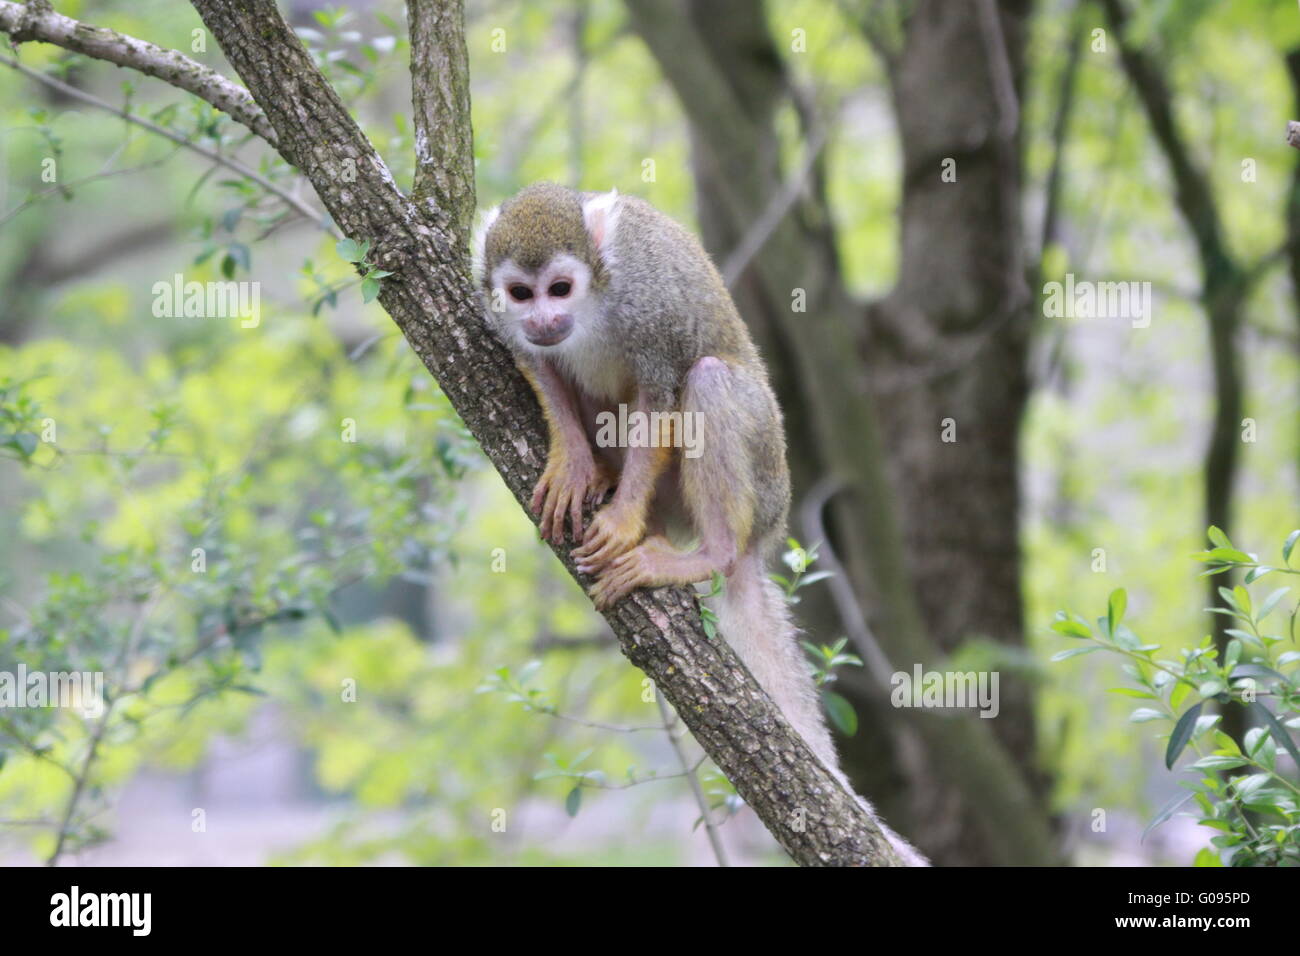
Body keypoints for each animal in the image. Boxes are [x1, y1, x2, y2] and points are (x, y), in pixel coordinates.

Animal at [474, 182, 927, 866]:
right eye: (522, 294)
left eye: (560, 287)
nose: (544, 320)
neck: (597, 297)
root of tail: (762, 536)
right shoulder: (501, 317)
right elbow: (541, 368)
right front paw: (573, 458)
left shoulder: (649, 298)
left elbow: (660, 394)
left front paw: (622, 521)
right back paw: (604, 475)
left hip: (766, 484)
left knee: (709, 379)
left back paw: (708, 554)